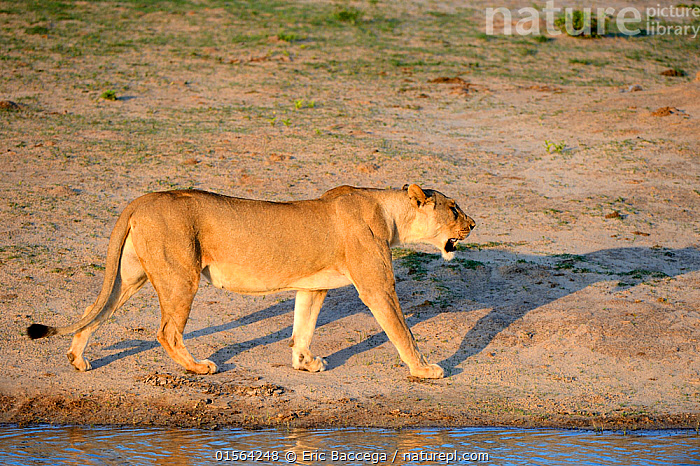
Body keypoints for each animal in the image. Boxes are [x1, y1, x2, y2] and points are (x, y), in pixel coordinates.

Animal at [27, 184, 475, 379]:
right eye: (453, 208)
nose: (473, 224)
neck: (389, 213)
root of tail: (142, 199)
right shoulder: (376, 285)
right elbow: (401, 330)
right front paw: (425, 369)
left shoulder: (313, 286)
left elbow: (303, 327)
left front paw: (305, 363)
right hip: (181, 275)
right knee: (166, 332)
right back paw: (199, 367)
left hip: (130, 276)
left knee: (93, 311)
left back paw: (78, 359)